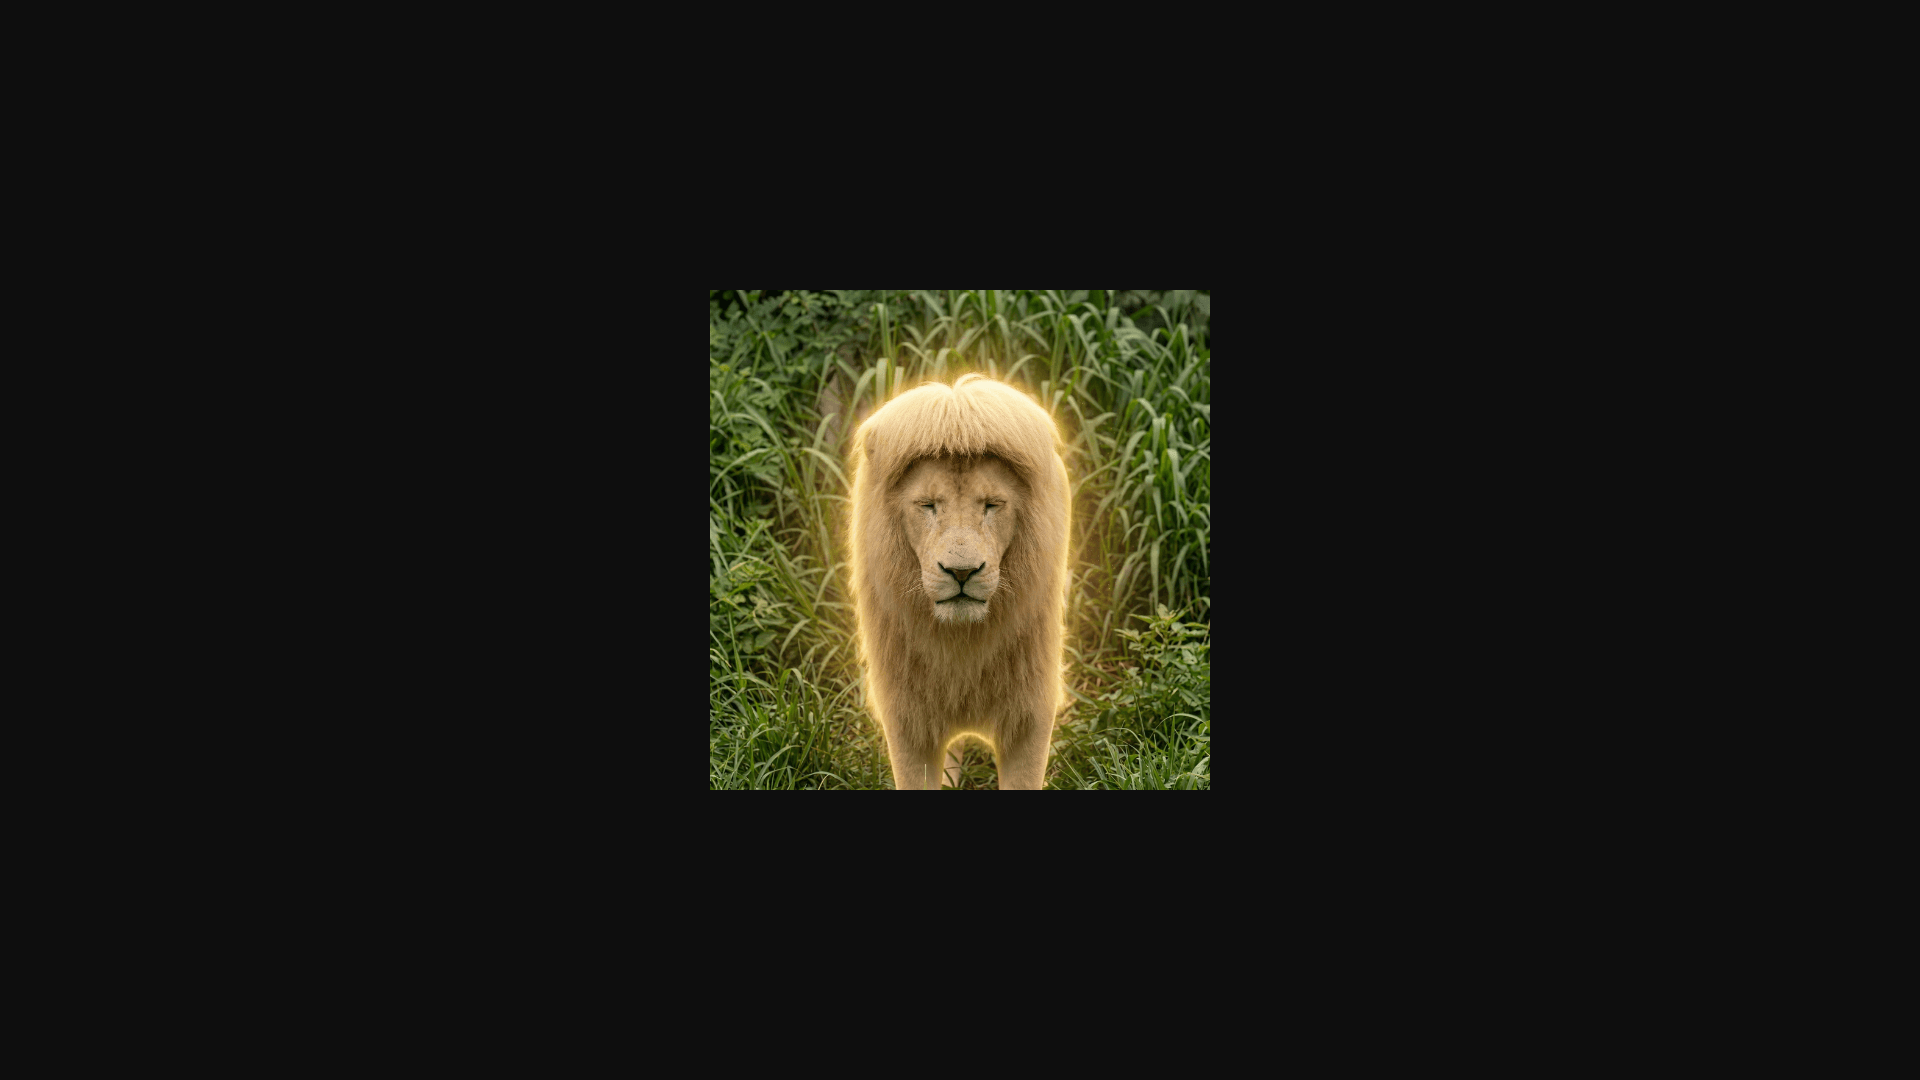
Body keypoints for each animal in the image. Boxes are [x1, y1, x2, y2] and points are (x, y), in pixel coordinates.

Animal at [848, 374, 1071, 790]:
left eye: (992, 505)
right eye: (927, 505)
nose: (962, 572)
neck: (961, 643)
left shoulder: (1030, 715)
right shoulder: (908, 721)